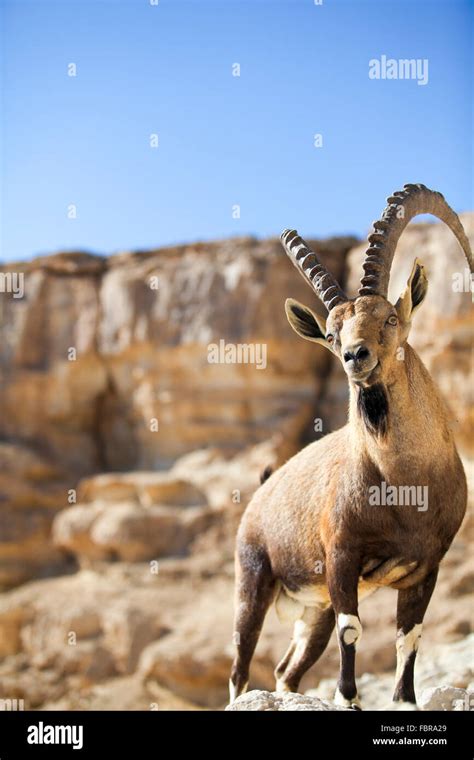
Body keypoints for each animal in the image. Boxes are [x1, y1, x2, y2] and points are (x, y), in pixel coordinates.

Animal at [229, 184, 472, 709]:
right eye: (329, 332)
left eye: (389, 318)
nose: (353, 356)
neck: (403, 485)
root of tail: (262, 490)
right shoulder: (341, 557)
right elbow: (352, 630)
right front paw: (348, 697)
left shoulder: (427, 565)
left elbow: (409, 637)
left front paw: (404, 699)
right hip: (252, 579)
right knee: (240, 665)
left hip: (312, 609)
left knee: (285, 670)